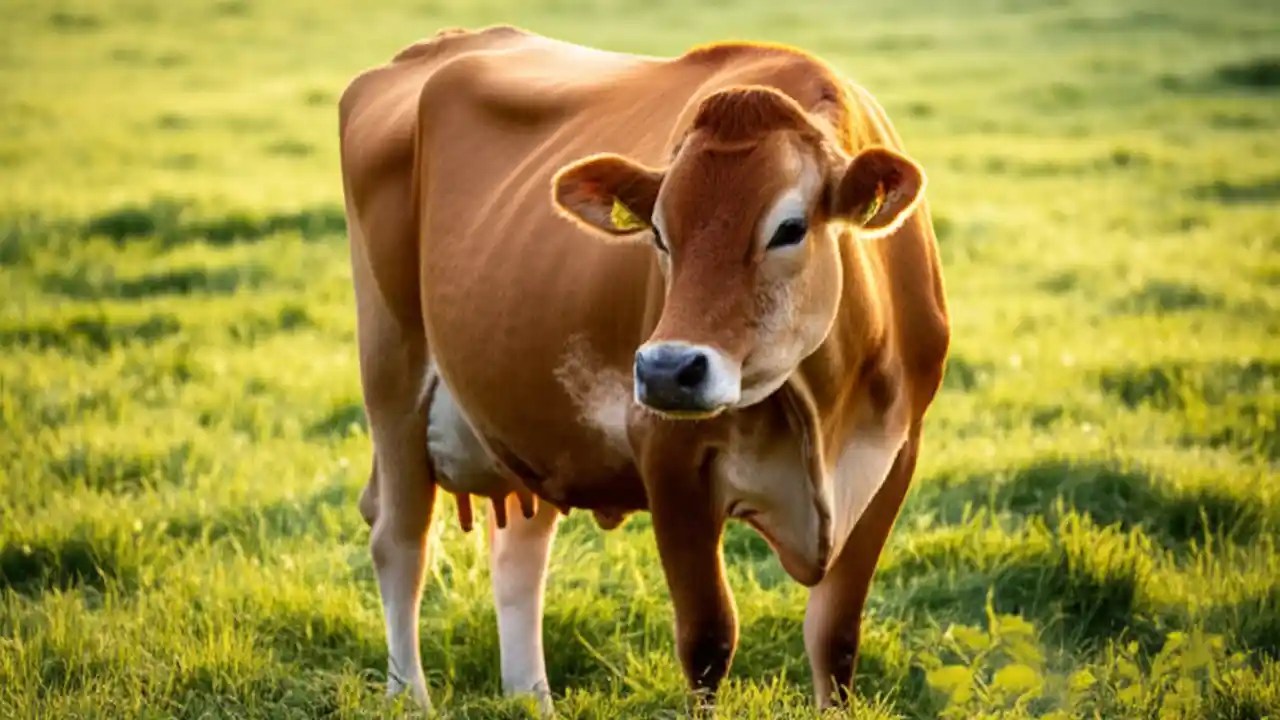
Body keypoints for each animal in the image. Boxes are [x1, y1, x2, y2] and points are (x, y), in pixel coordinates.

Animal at [338, 25, 949, 713]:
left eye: (789, 228)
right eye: (658, 233)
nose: (665, 368)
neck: (824, 410)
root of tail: (436, 45)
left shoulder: (894, 458)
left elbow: (836, 640)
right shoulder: (669, 456)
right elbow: (708, 641)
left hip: (526, 412)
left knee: (520, 550)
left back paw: (532, 700)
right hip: (391, 369)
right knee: (400, 539)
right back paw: (409, 698)